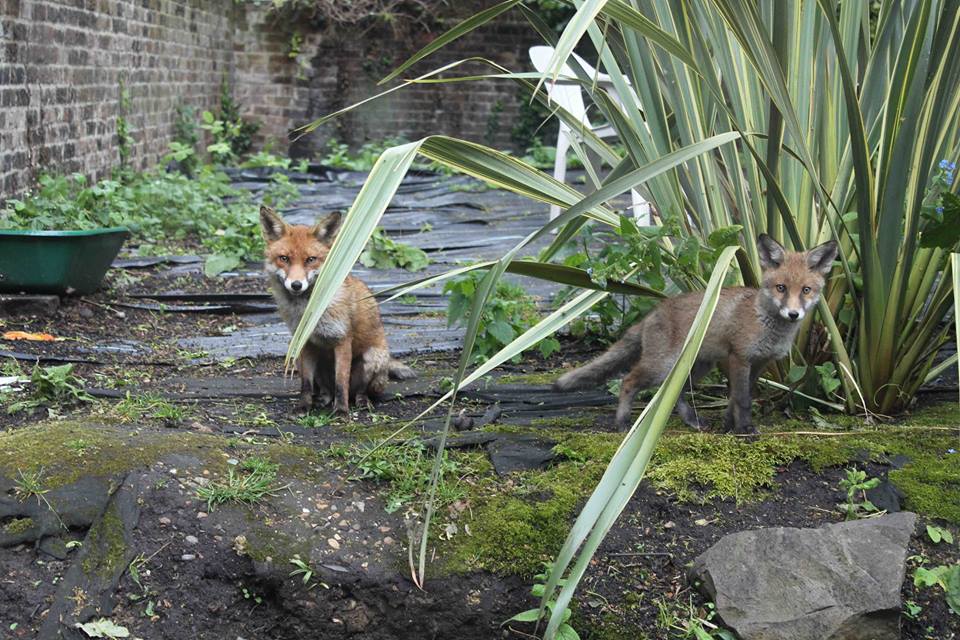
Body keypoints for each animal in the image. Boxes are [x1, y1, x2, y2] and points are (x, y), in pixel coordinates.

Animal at [260, 205, 415, 414]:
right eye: (284, 258)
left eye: (311, 259)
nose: (296, 285)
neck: (309, 310)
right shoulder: (304, 343)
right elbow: (306, 385)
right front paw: (303, 407)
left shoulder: (342, 340)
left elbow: (341, 381)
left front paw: (341, 412)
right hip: (299, 359)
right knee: (327, 391)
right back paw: (322, 401)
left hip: (372, 358)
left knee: (356, 391)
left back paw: (361, 402)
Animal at [554, 234, 838, 435]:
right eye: (781, 288)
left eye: (806, 290)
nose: (793, 314)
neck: (766, 323)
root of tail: (654, 312)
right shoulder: (739, 357)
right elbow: (743, 400)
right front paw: (744, 430)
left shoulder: (758, 364)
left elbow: (736, 398)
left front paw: (728, 425)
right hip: (662, 365)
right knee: (628, 381)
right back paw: (622, 422)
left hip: (699, 365)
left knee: (676, 391)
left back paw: (691, 420)